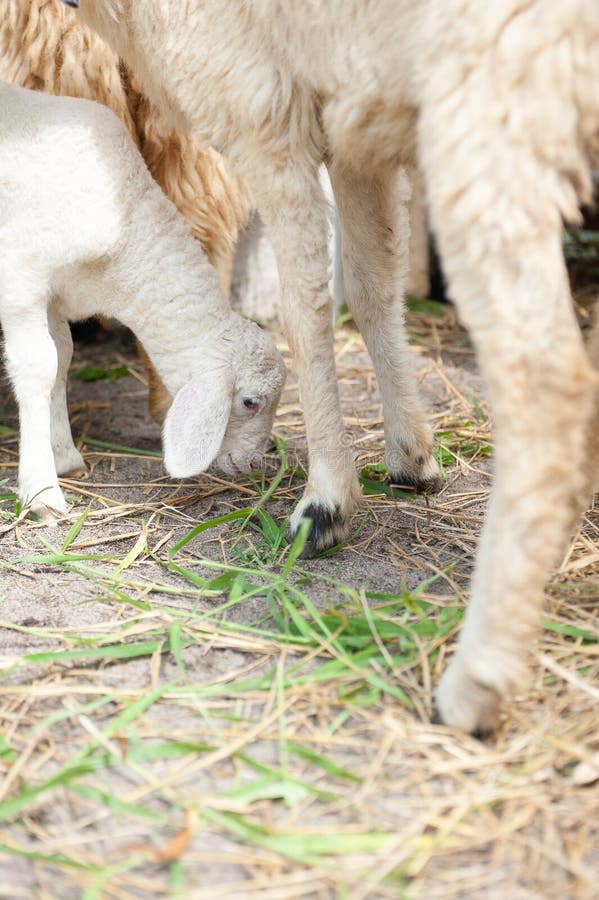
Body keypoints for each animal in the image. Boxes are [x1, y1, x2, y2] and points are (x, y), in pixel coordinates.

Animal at [0, 81, 286, 520]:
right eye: (250, 402)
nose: (252, 465)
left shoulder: (56, 292)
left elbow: (62, 359)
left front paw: (64, 454)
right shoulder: (21, 279)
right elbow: (39, 368)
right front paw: (41, 490)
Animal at [67, 0, 599, 733]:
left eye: (251, 404)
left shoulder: (261, 106)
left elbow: (306, 306)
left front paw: (324, 504)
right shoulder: (357, 114)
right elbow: (373, 287)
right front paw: (410, 457)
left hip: (493, 95)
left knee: (543, 382)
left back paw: (474, 681)